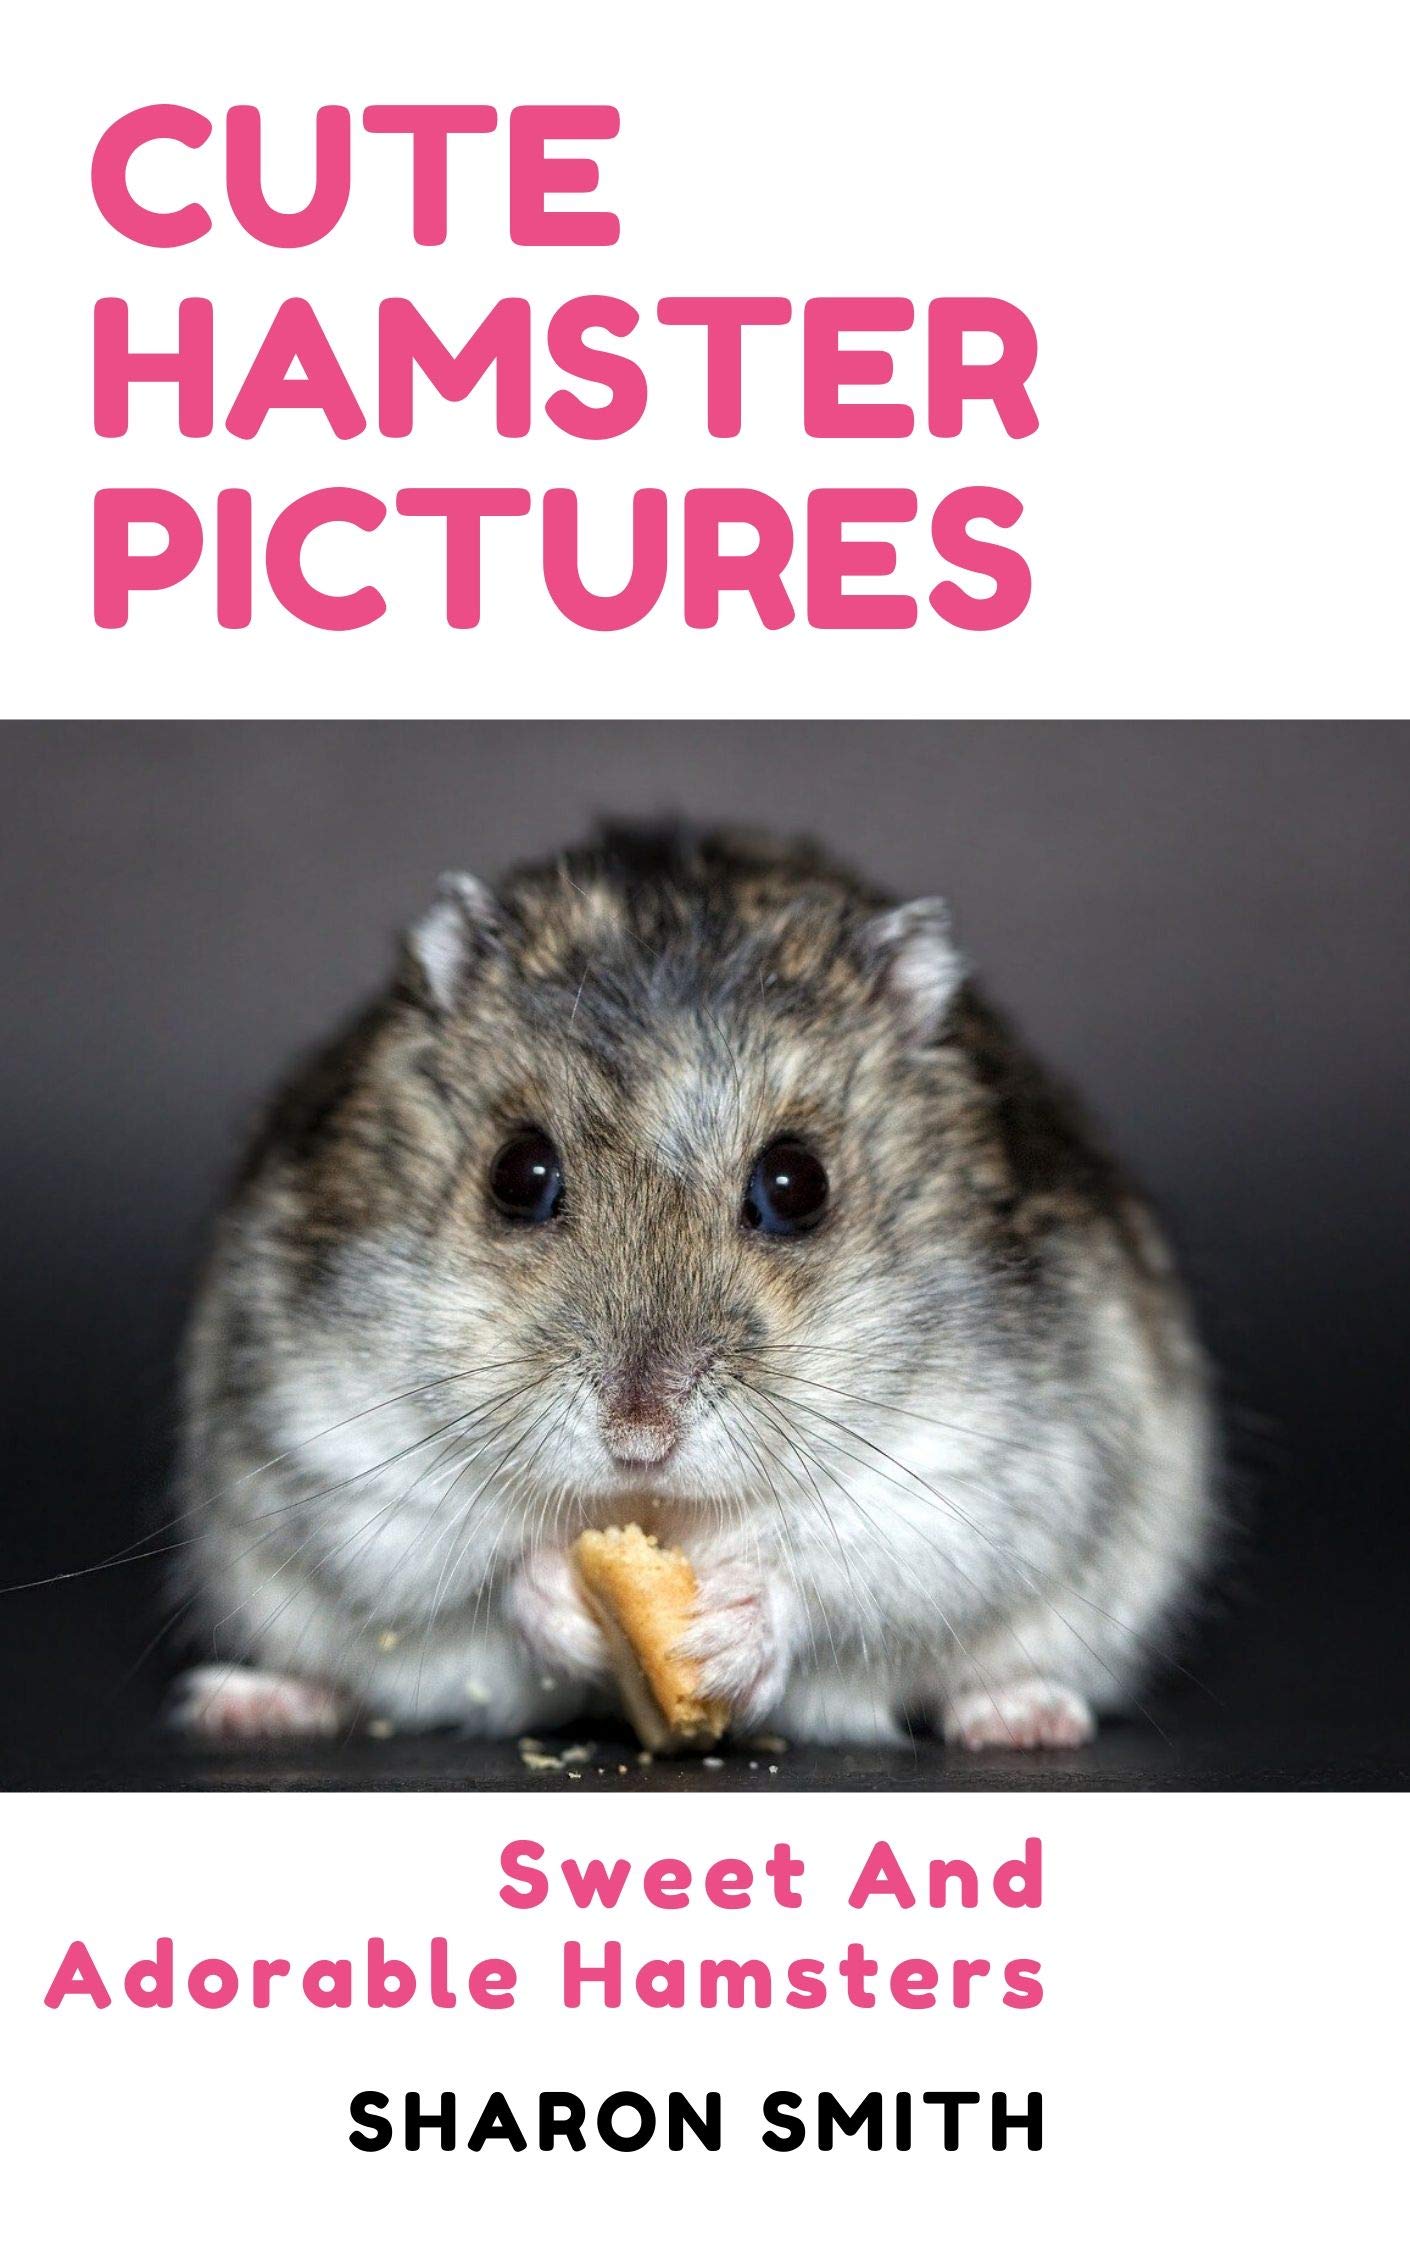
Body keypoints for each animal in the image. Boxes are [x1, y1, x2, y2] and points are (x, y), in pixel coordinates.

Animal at [168, 824, 1214, 1750]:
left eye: (796, 1185)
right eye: (517, 1174)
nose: (640, 1439)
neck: (664, 1513)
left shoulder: (974, 1473)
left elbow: (837, 1574)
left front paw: (723, 1632)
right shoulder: (337, 1449)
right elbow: (474, 1567)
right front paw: (562, 1596)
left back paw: (1023, 1718)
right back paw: (249, 1703)